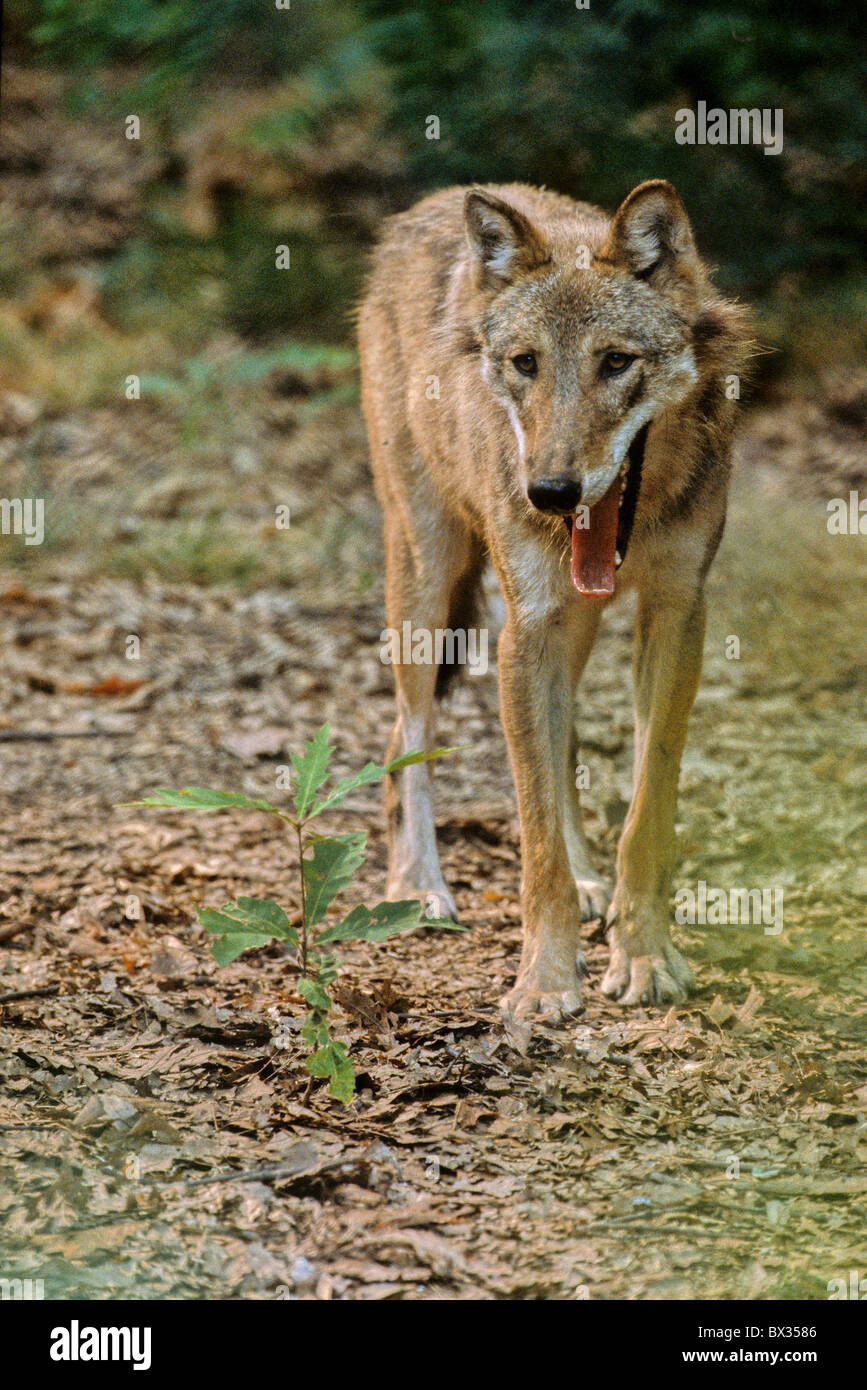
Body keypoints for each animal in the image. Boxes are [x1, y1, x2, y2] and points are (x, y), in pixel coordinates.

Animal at [358, 180, 748, 1019]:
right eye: (525, 364)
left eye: (615, 362)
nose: (550, 492)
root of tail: (431, 202)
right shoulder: (527, 629)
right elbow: (532, 832)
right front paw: (542, 981)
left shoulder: (677, 612)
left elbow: (644, 808)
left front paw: (643, 953)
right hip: (425, 578)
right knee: (406, 734)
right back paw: (416, 888)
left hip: (571, 621)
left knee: (558, 742)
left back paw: (587, 880)